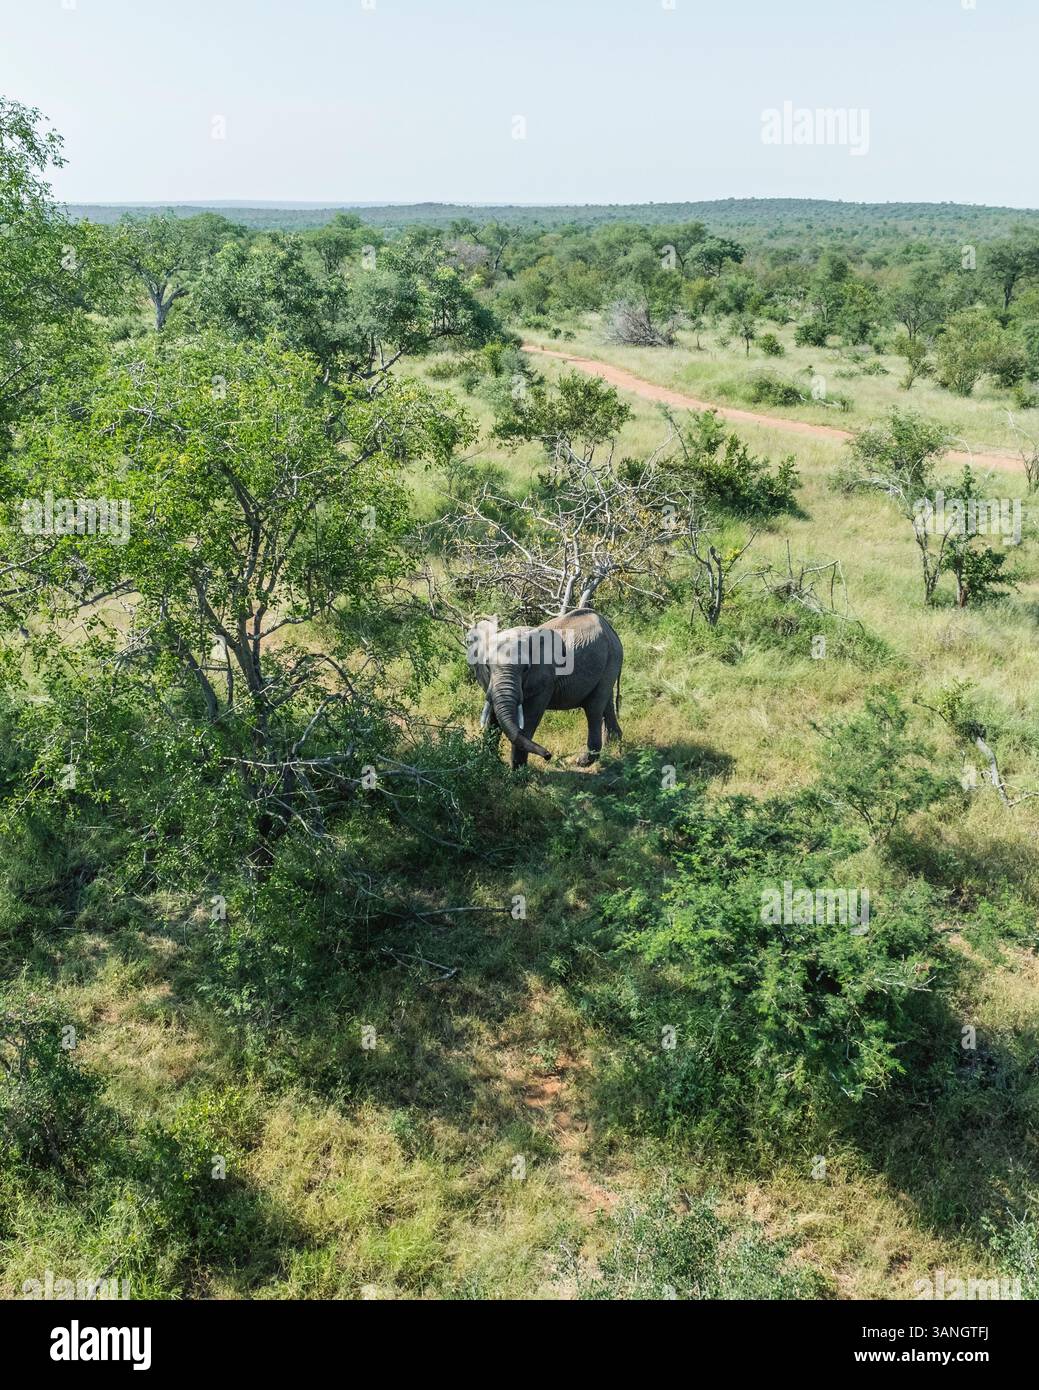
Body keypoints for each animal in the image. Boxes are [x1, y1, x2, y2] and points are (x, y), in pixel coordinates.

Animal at [467, 609, 623, 769]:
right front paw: (490, 763)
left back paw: (583, 761)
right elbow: (494, 718)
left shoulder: (544, 680)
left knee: (594, 708)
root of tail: (609, 628)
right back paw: (613, 749)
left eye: (526, 668)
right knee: (606, 703)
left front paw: (518, 770)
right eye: (487, 666)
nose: (548, 755)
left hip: (611, 661)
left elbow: (530, 717)